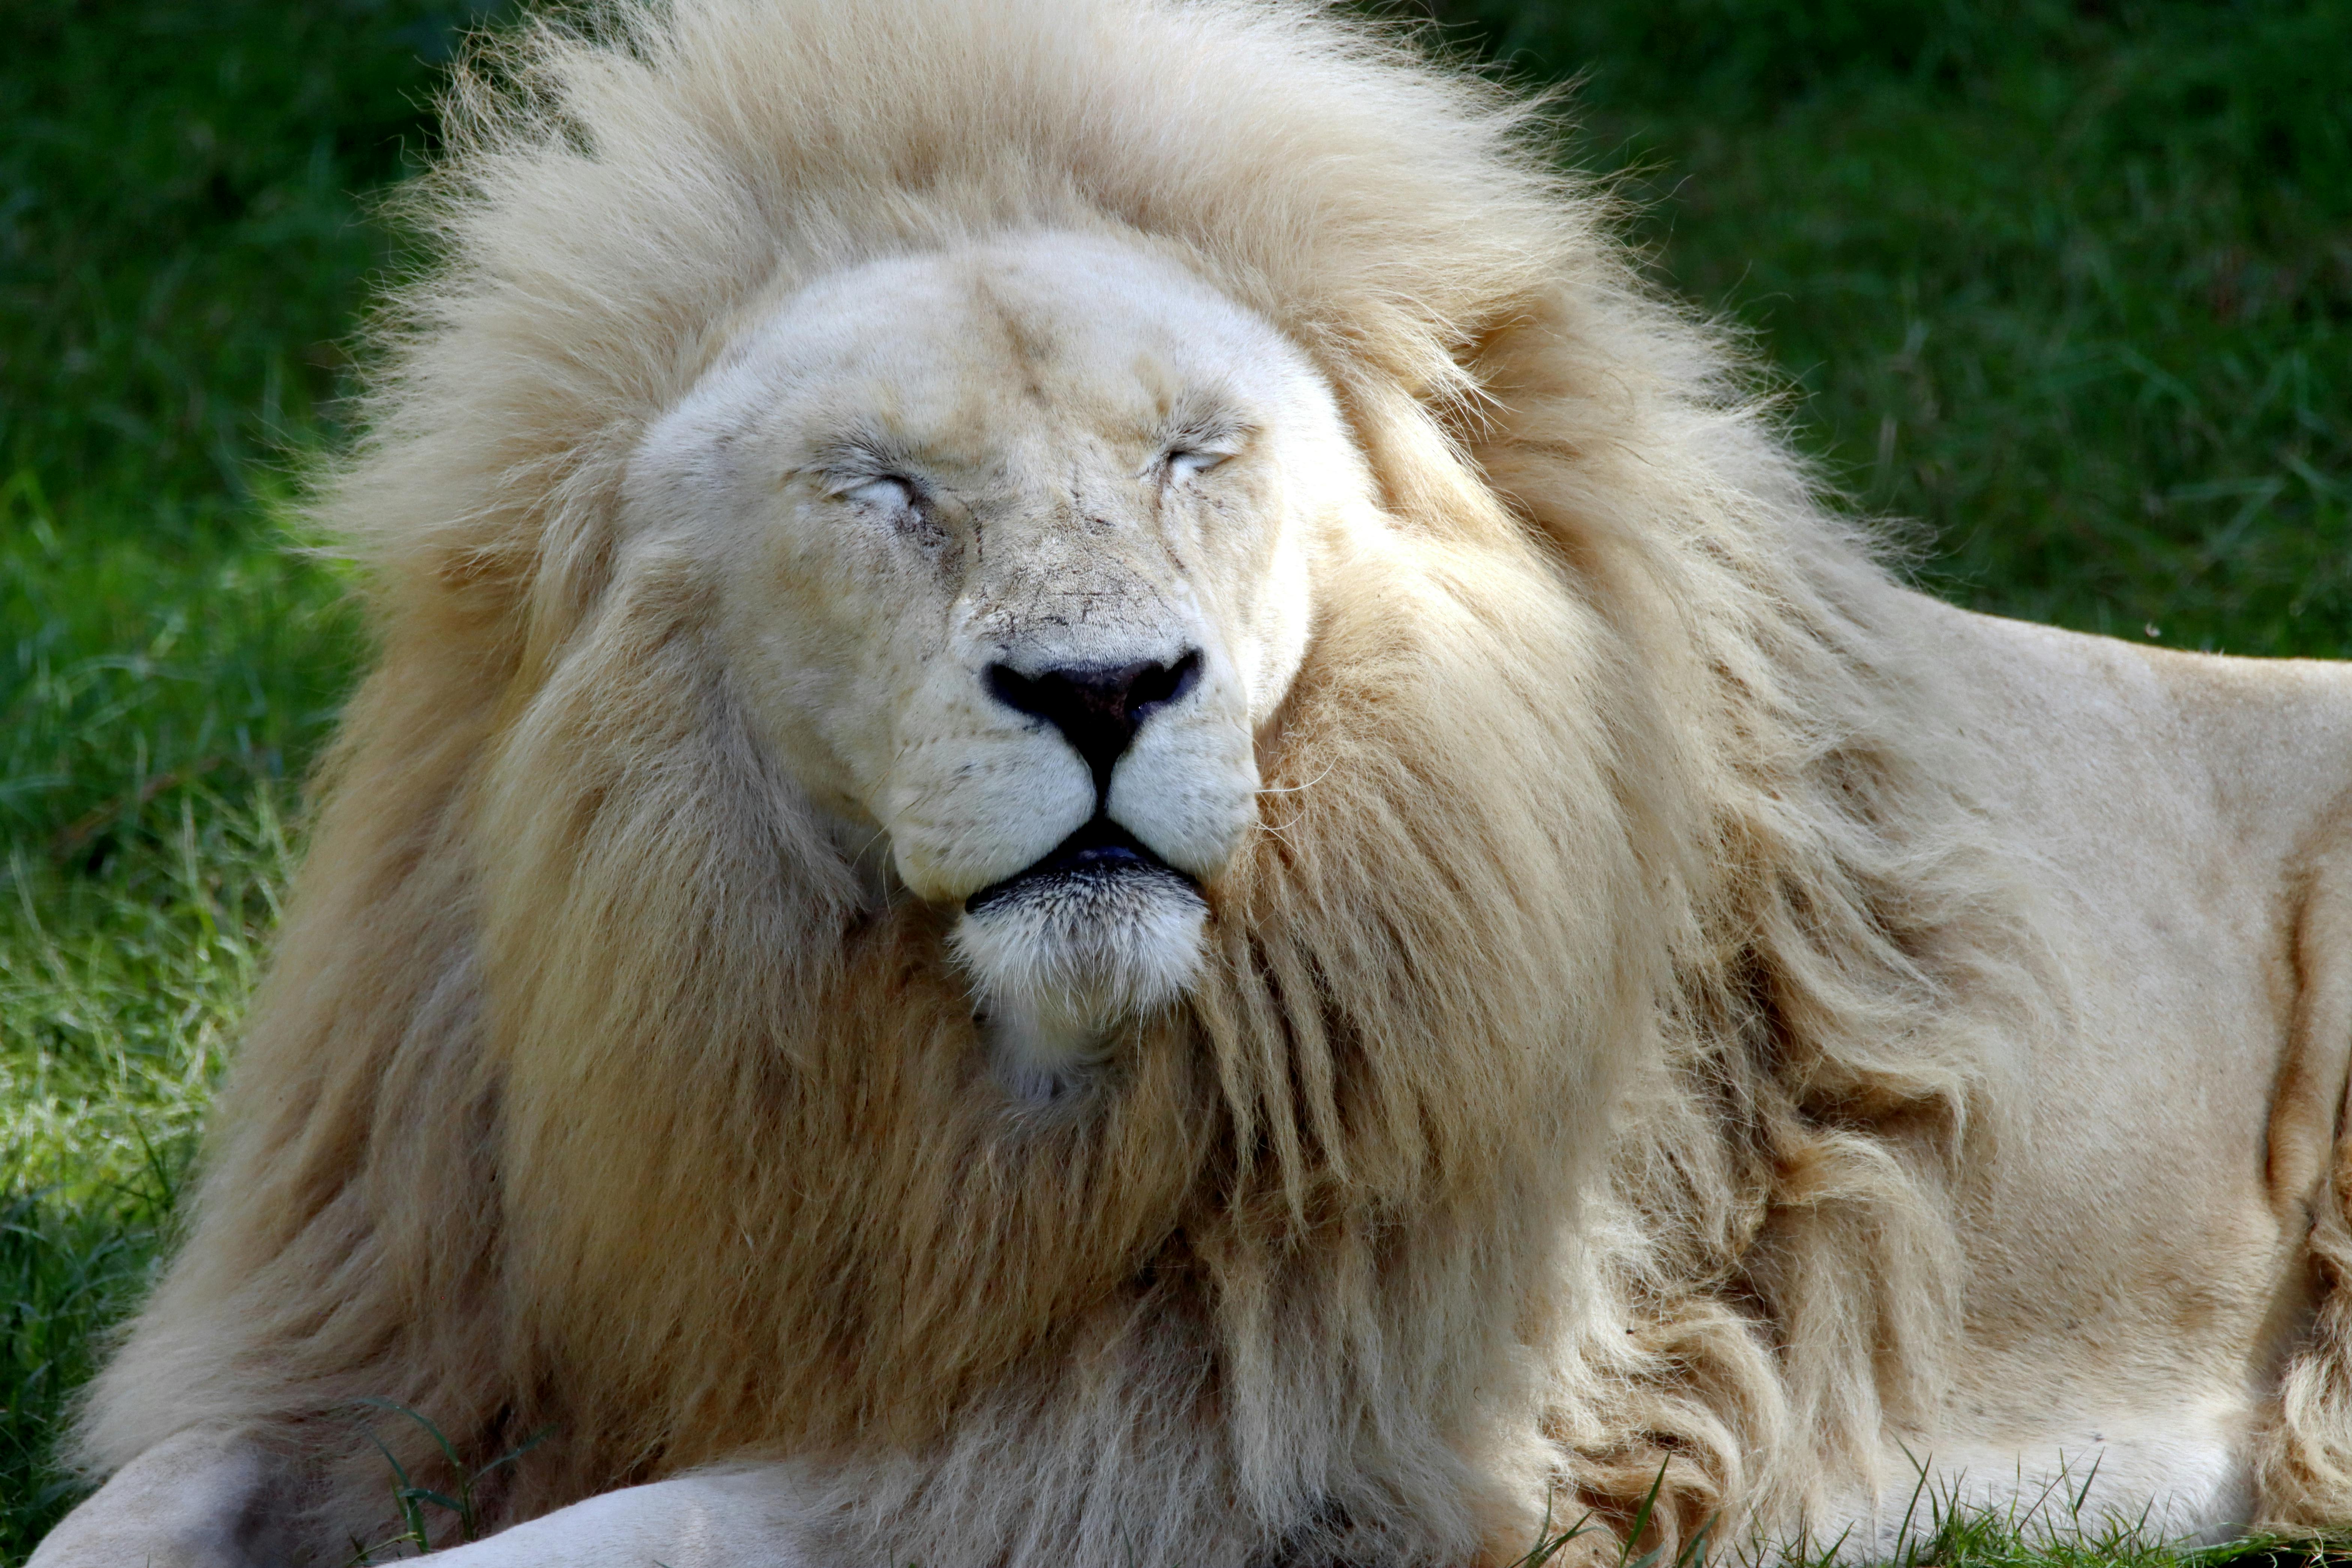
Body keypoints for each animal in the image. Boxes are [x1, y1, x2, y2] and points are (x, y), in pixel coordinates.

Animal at [32, 1, 2352, 1564]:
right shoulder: (408, 1301)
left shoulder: (1243, 1444)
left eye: (1190, 453)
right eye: (879, 486)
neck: (904, 1074)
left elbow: (604, 1538)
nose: (1101, 688)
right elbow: (140, 1501)